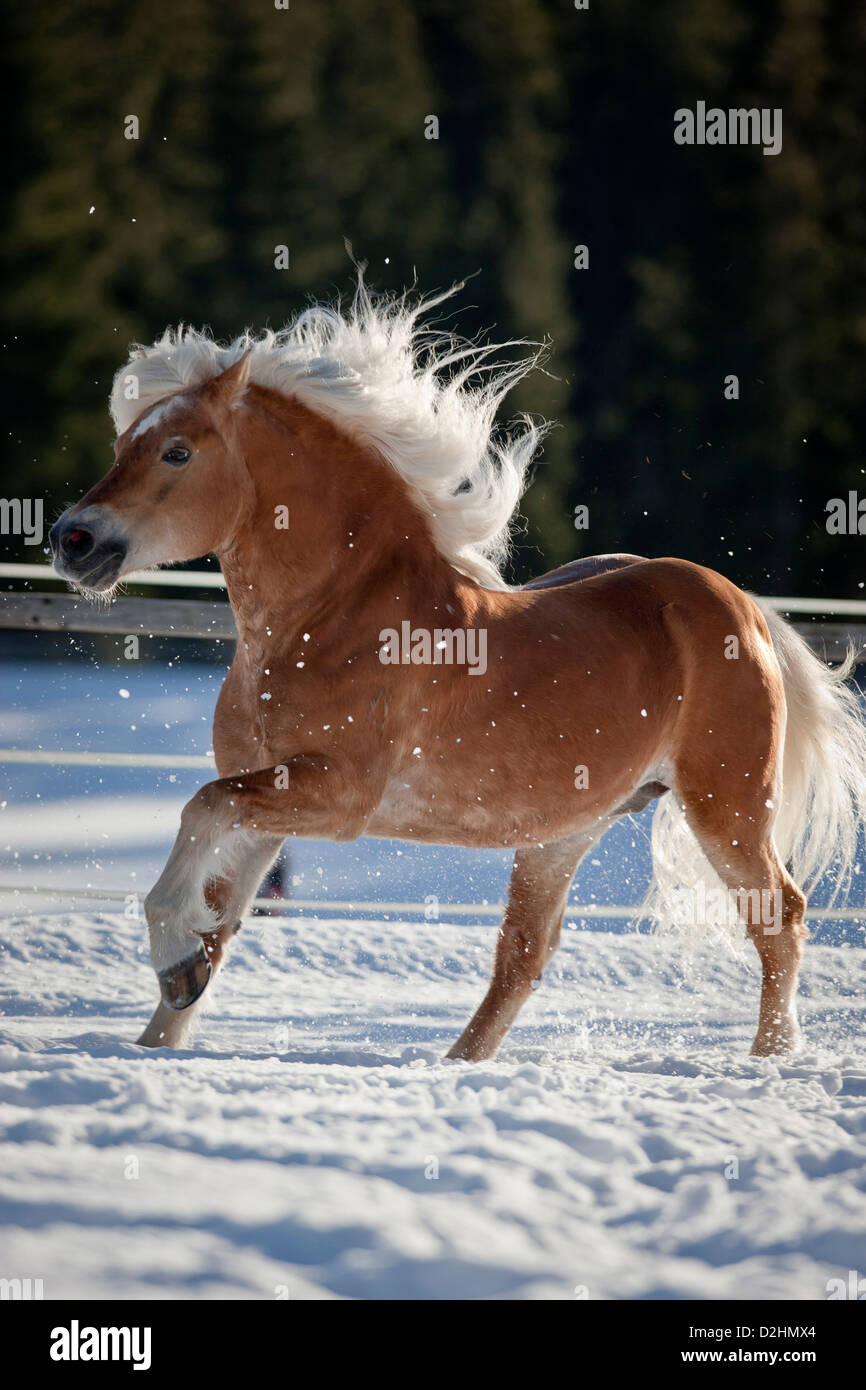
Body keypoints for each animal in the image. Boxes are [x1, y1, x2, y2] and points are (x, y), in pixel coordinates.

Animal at [49, 280, 866, 1060]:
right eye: (123, 442)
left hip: (726, 804)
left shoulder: (335, 796)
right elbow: (217, 919)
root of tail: (744, 607)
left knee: (780, 918)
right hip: (566, 830)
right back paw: (458, 1066)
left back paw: (769, 1060)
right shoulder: (266, 808)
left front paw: (171, 966)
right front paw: (166, 1016)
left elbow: (199, 810)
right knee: (526, 954)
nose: (71, 539)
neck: (330, 620)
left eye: (177, 451)